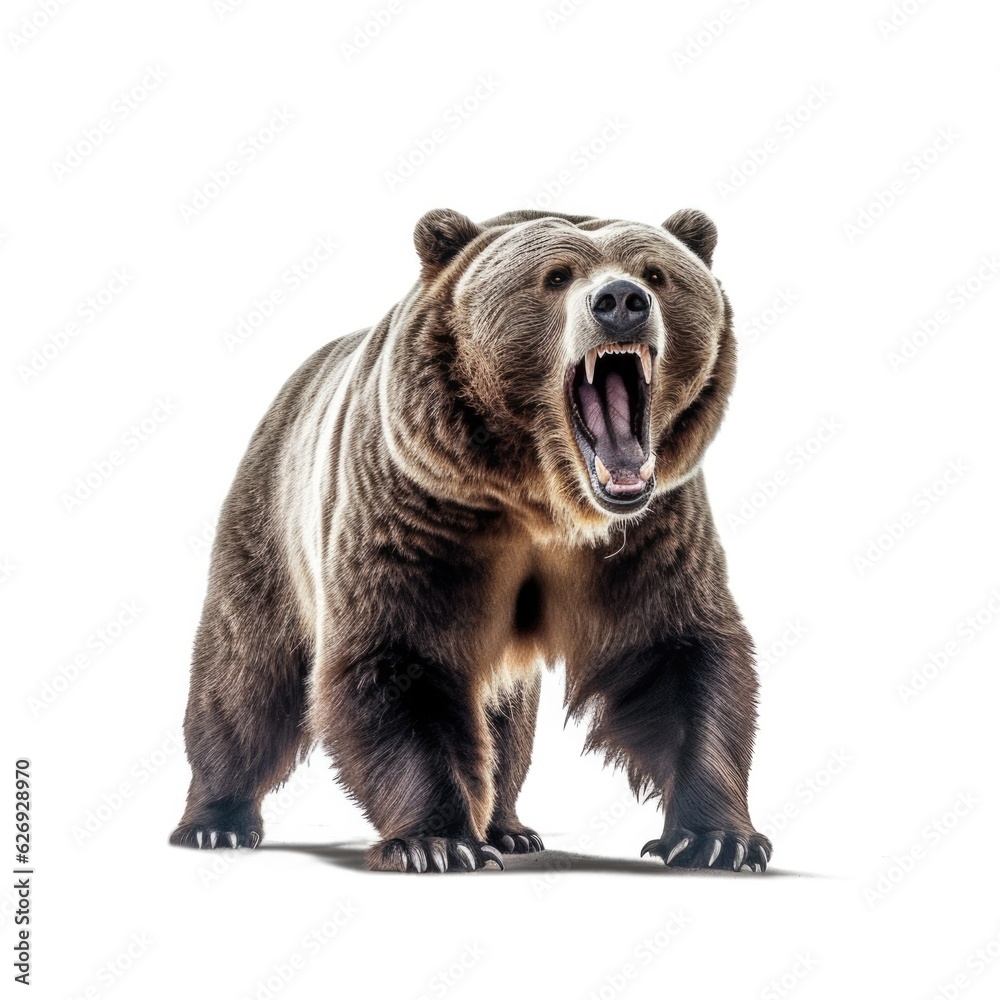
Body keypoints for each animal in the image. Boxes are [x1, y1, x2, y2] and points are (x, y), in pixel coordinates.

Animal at [169, 207, 772, 874]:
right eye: (556, 275)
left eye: (656, 273)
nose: (621, 301)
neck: (543, 500)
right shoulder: (420, 512)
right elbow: (398, 660)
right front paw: (435, 841)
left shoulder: (647, 531)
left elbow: (674, 654)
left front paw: (718, 838)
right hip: (272, 527)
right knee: (244, 680)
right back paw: (214, 822)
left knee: (506, 722)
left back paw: (509, 827)